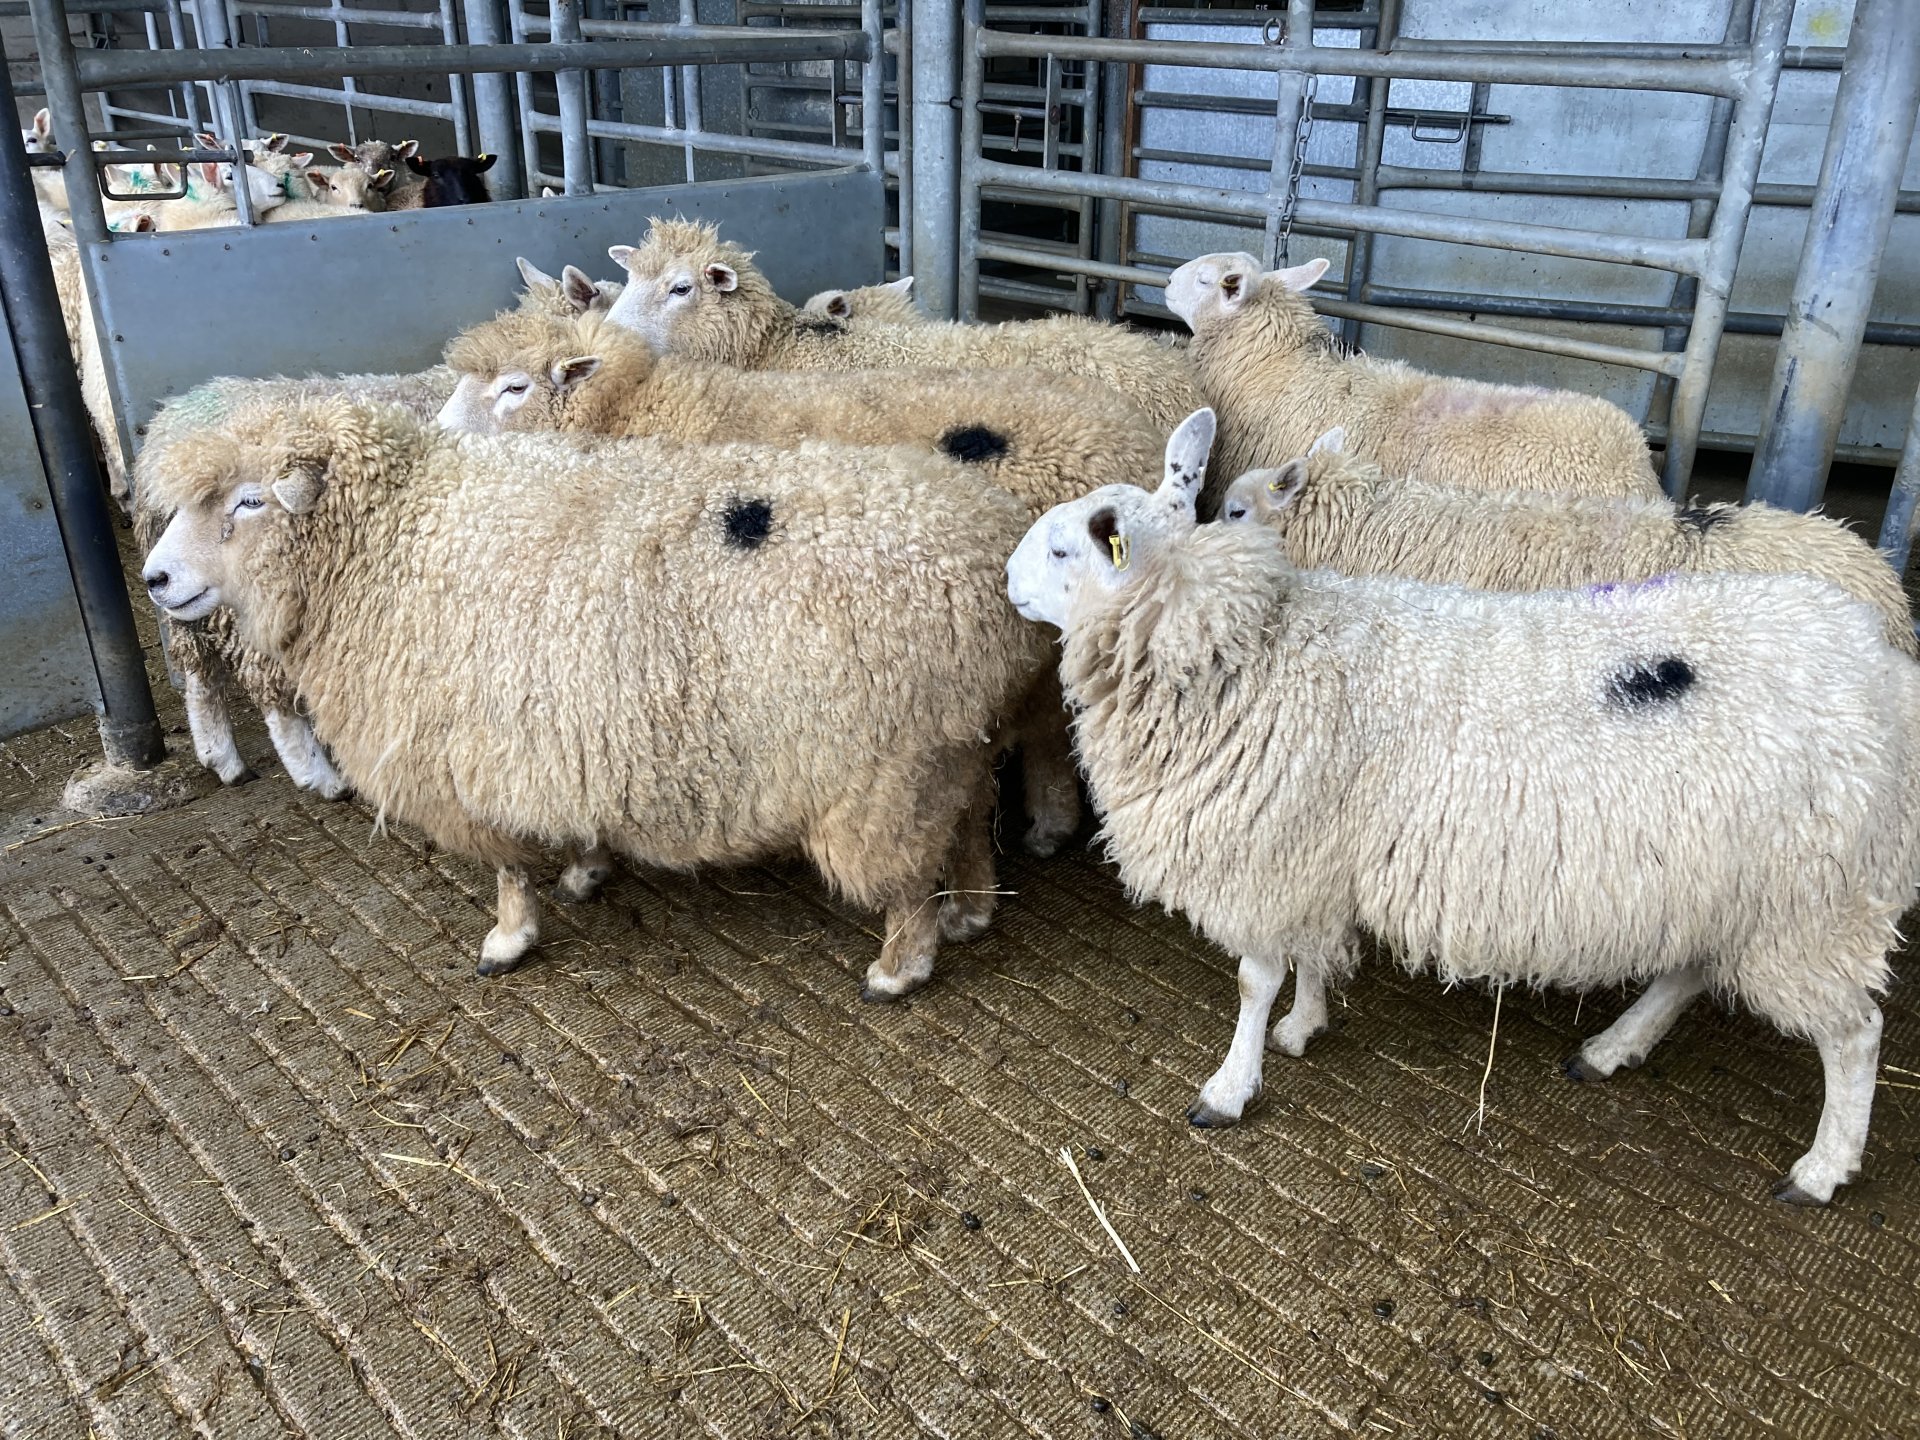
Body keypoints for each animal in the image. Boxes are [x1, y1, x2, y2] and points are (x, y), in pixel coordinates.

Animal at [133, 368, 459, 796]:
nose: (154, 577)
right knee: (266, 685)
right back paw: (319, 775)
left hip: (194, 612)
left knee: (200, 671)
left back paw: (221, 757)